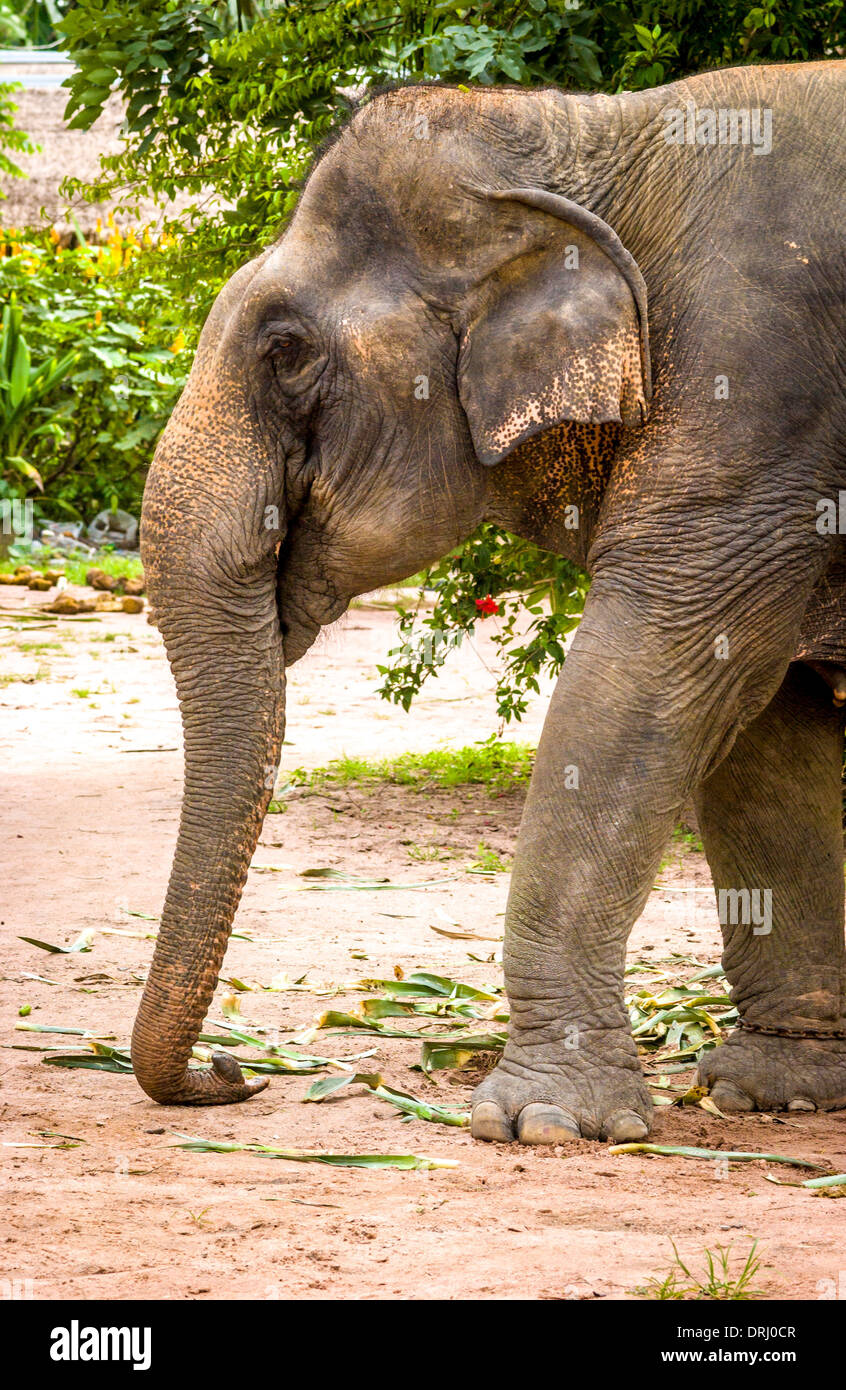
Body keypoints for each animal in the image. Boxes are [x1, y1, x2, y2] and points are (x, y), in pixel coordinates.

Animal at [134, 58, 846, 1145]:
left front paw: (540, 1122)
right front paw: (774, 1089)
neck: (593, 138)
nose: (234, 1072)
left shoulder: (760, 384)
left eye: (286, 351)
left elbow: (655, 666)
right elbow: (767, 724)